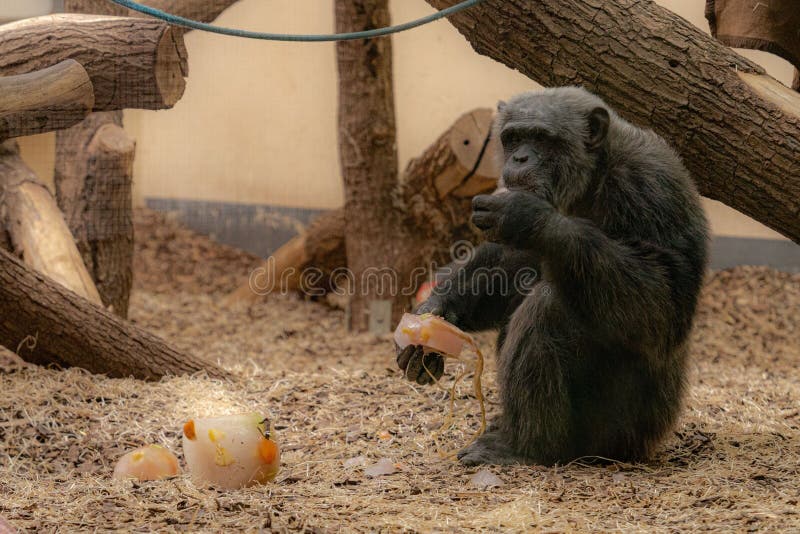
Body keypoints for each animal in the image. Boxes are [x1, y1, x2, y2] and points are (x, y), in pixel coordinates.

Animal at [397, 87, 709, 466]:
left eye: (541, 138)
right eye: (513, 138)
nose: (519, 158)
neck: (593, 175)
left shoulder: (649, 188)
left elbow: (662, 298)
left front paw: (528, 218)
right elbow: (513, 261)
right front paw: (436, 312)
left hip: (623, 431)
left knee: (548, 308)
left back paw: (524, 445)